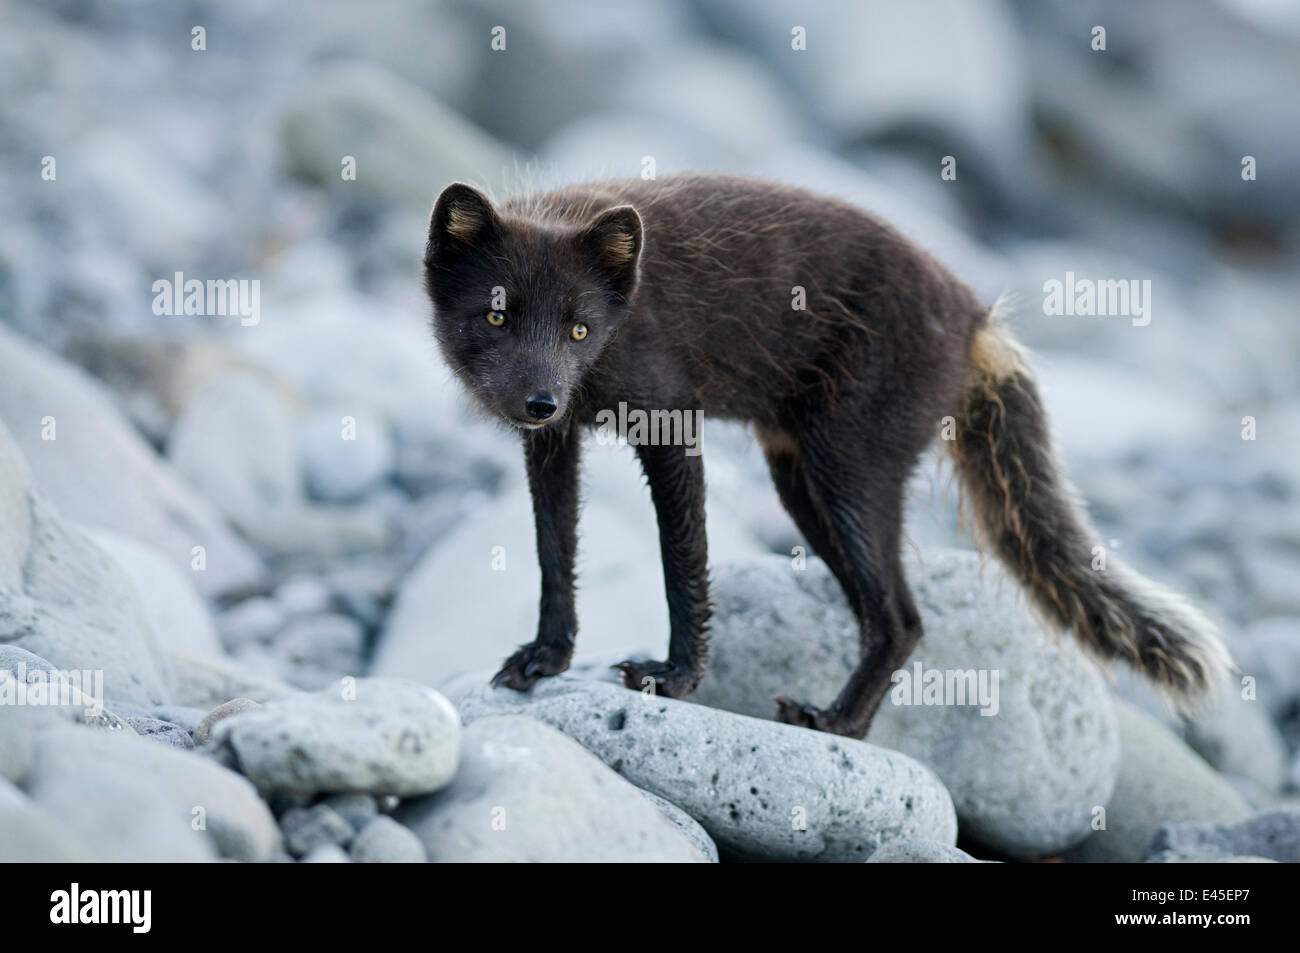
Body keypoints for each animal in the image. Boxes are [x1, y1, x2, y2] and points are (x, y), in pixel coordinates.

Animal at [422, 172, 1231, 738]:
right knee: (891, 618)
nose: (539, 401)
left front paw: (675, 679)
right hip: (800, 480)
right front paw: (546, 658)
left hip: (845, 467)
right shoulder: (554, 445)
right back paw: (852, 725)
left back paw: (834, 721)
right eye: (496, 315)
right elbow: (553, 552)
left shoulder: (672, 423)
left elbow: (683, 562)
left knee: (902, 616)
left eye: (580, 330)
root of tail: (975, 318)